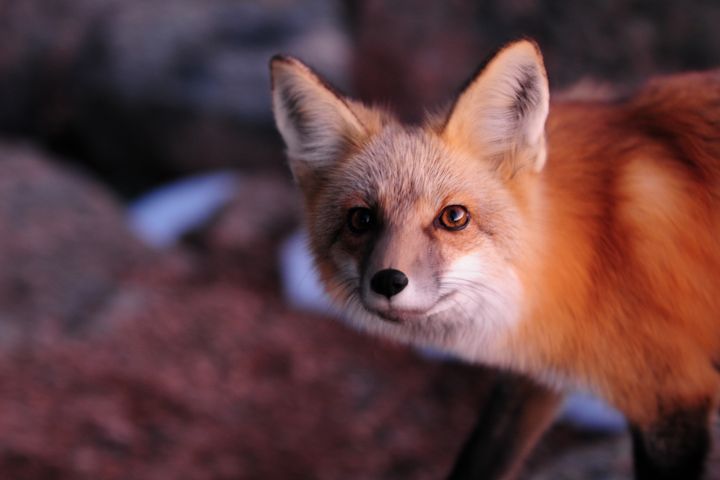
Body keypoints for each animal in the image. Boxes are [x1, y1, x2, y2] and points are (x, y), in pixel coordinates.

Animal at [270, 39, 720, 479]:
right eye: (361, 219)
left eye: (454, 217)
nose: (389, 281)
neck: (595, 247)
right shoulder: (535, 376)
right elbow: (480, 458)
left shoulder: (671, 398)